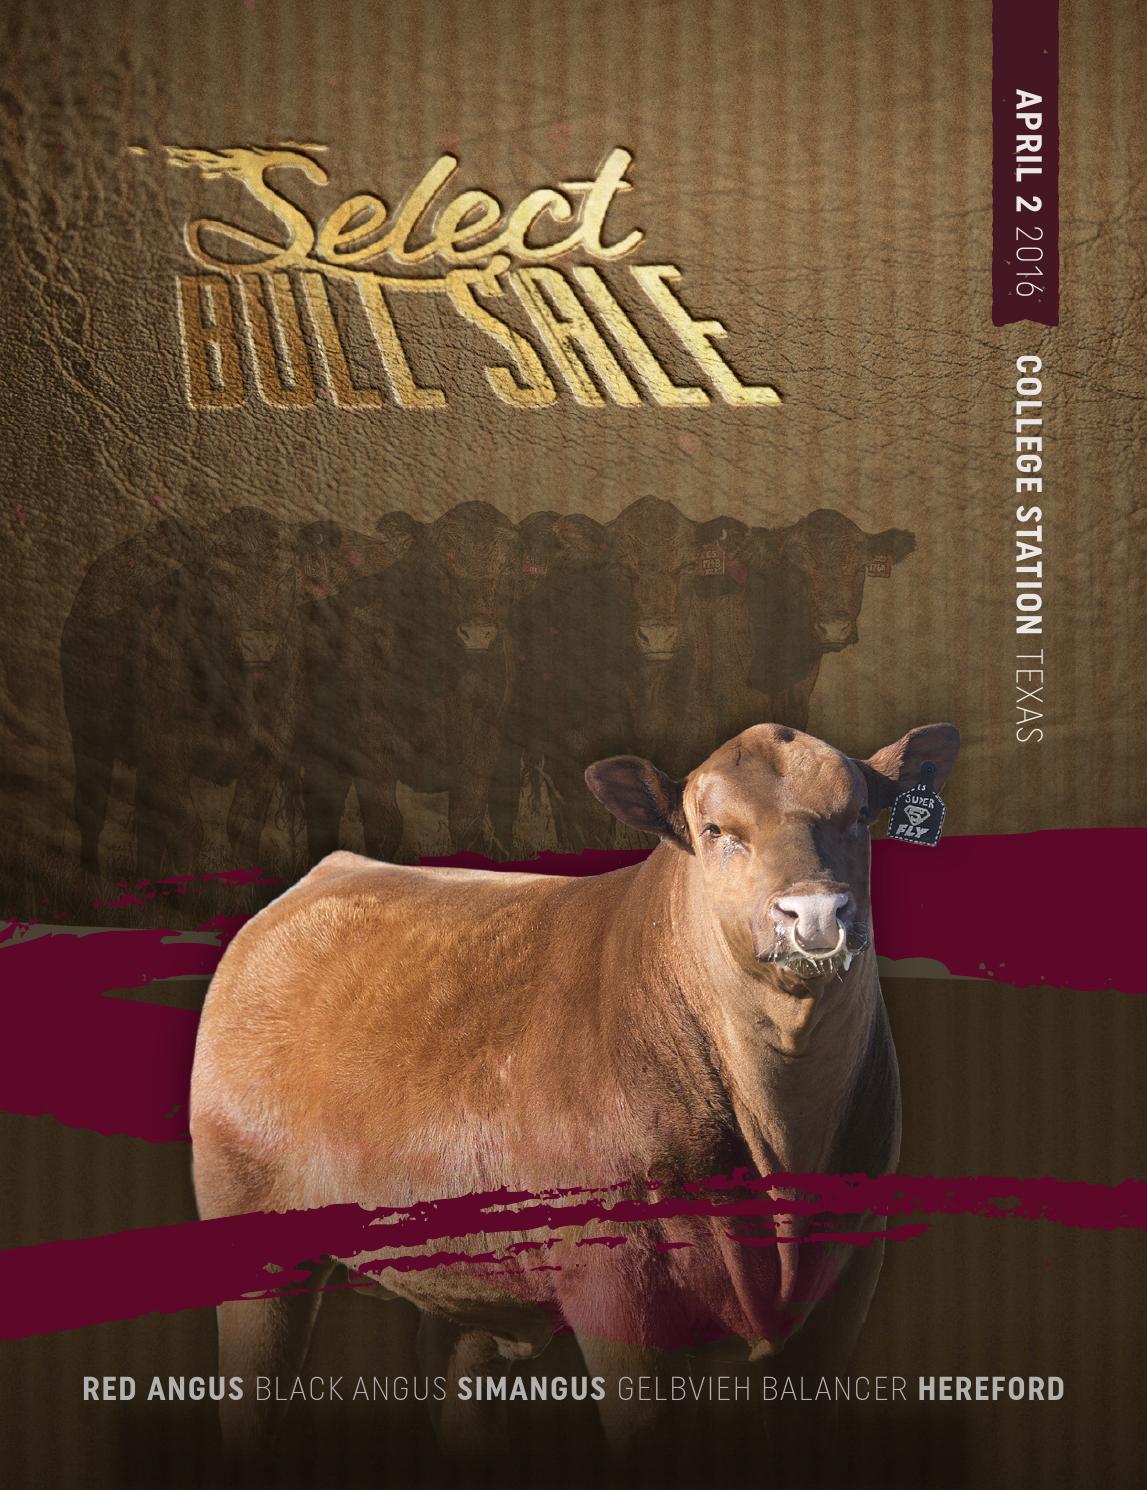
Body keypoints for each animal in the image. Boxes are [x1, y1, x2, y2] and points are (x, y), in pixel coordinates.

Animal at [190, 719, 960, 1457]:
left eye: (858, 814)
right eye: (716, 830)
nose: (816, 913)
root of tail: (324, 875)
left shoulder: (843, 1290)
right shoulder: (620, 1294)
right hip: (248, 1227)